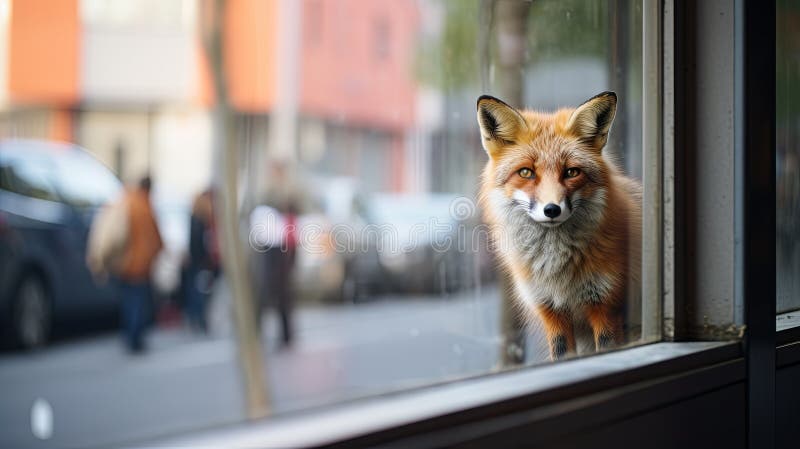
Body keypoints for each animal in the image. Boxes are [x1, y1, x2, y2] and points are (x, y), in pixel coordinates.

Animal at [476, 92, 641, 360]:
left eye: (572, 172)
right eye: (526, 172)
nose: (552, 209)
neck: (556, 269)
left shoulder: (606, 304)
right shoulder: (550, 311)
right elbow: (561, 353)